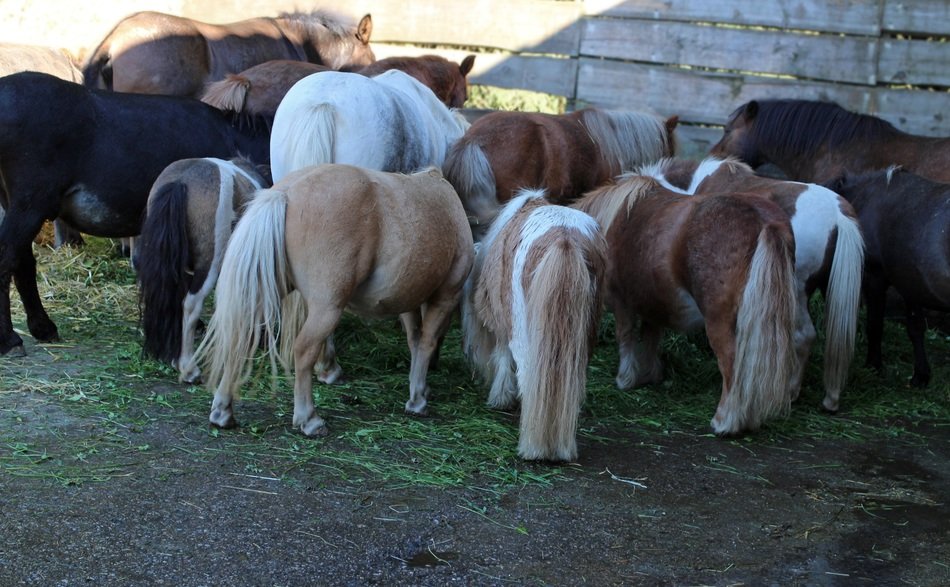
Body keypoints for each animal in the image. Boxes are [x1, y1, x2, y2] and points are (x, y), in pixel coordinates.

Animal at [0, 71, 271, 357]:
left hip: (17, 206)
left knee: (23, 262)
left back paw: (42, 327)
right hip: (30, 205)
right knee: (7, 259)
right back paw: (10, 340)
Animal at [197, 164, 474, 436]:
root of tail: (286, 193)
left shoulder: (407, 300)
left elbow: (414, 340)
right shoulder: (446, 296)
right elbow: (426, 342)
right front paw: (417, 399)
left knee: (240, 338)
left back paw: (222, 410)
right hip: (327, 309)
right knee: (303, 350)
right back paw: (308, 419)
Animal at [461, 190, 606, 462]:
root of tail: (564, 239)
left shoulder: (504, 326)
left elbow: (503, 358)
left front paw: (501, 398)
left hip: (525, 337)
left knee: (529, 376)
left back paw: (536, 447)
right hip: (583, 338)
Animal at [573, 175, 799, 435]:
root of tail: (766, 222)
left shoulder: (623, 303)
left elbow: (626, 336)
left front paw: (626, 379)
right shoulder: (652, 303)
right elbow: (651, 336)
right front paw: (650, 374)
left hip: (720, 323)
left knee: (733, 365)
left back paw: (725, 422)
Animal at [826, 168, 950, 388]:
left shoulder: (874, 276)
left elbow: (875, 325)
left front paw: (873, 366)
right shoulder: (910, 282)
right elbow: (915, 328)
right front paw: (920, 376)